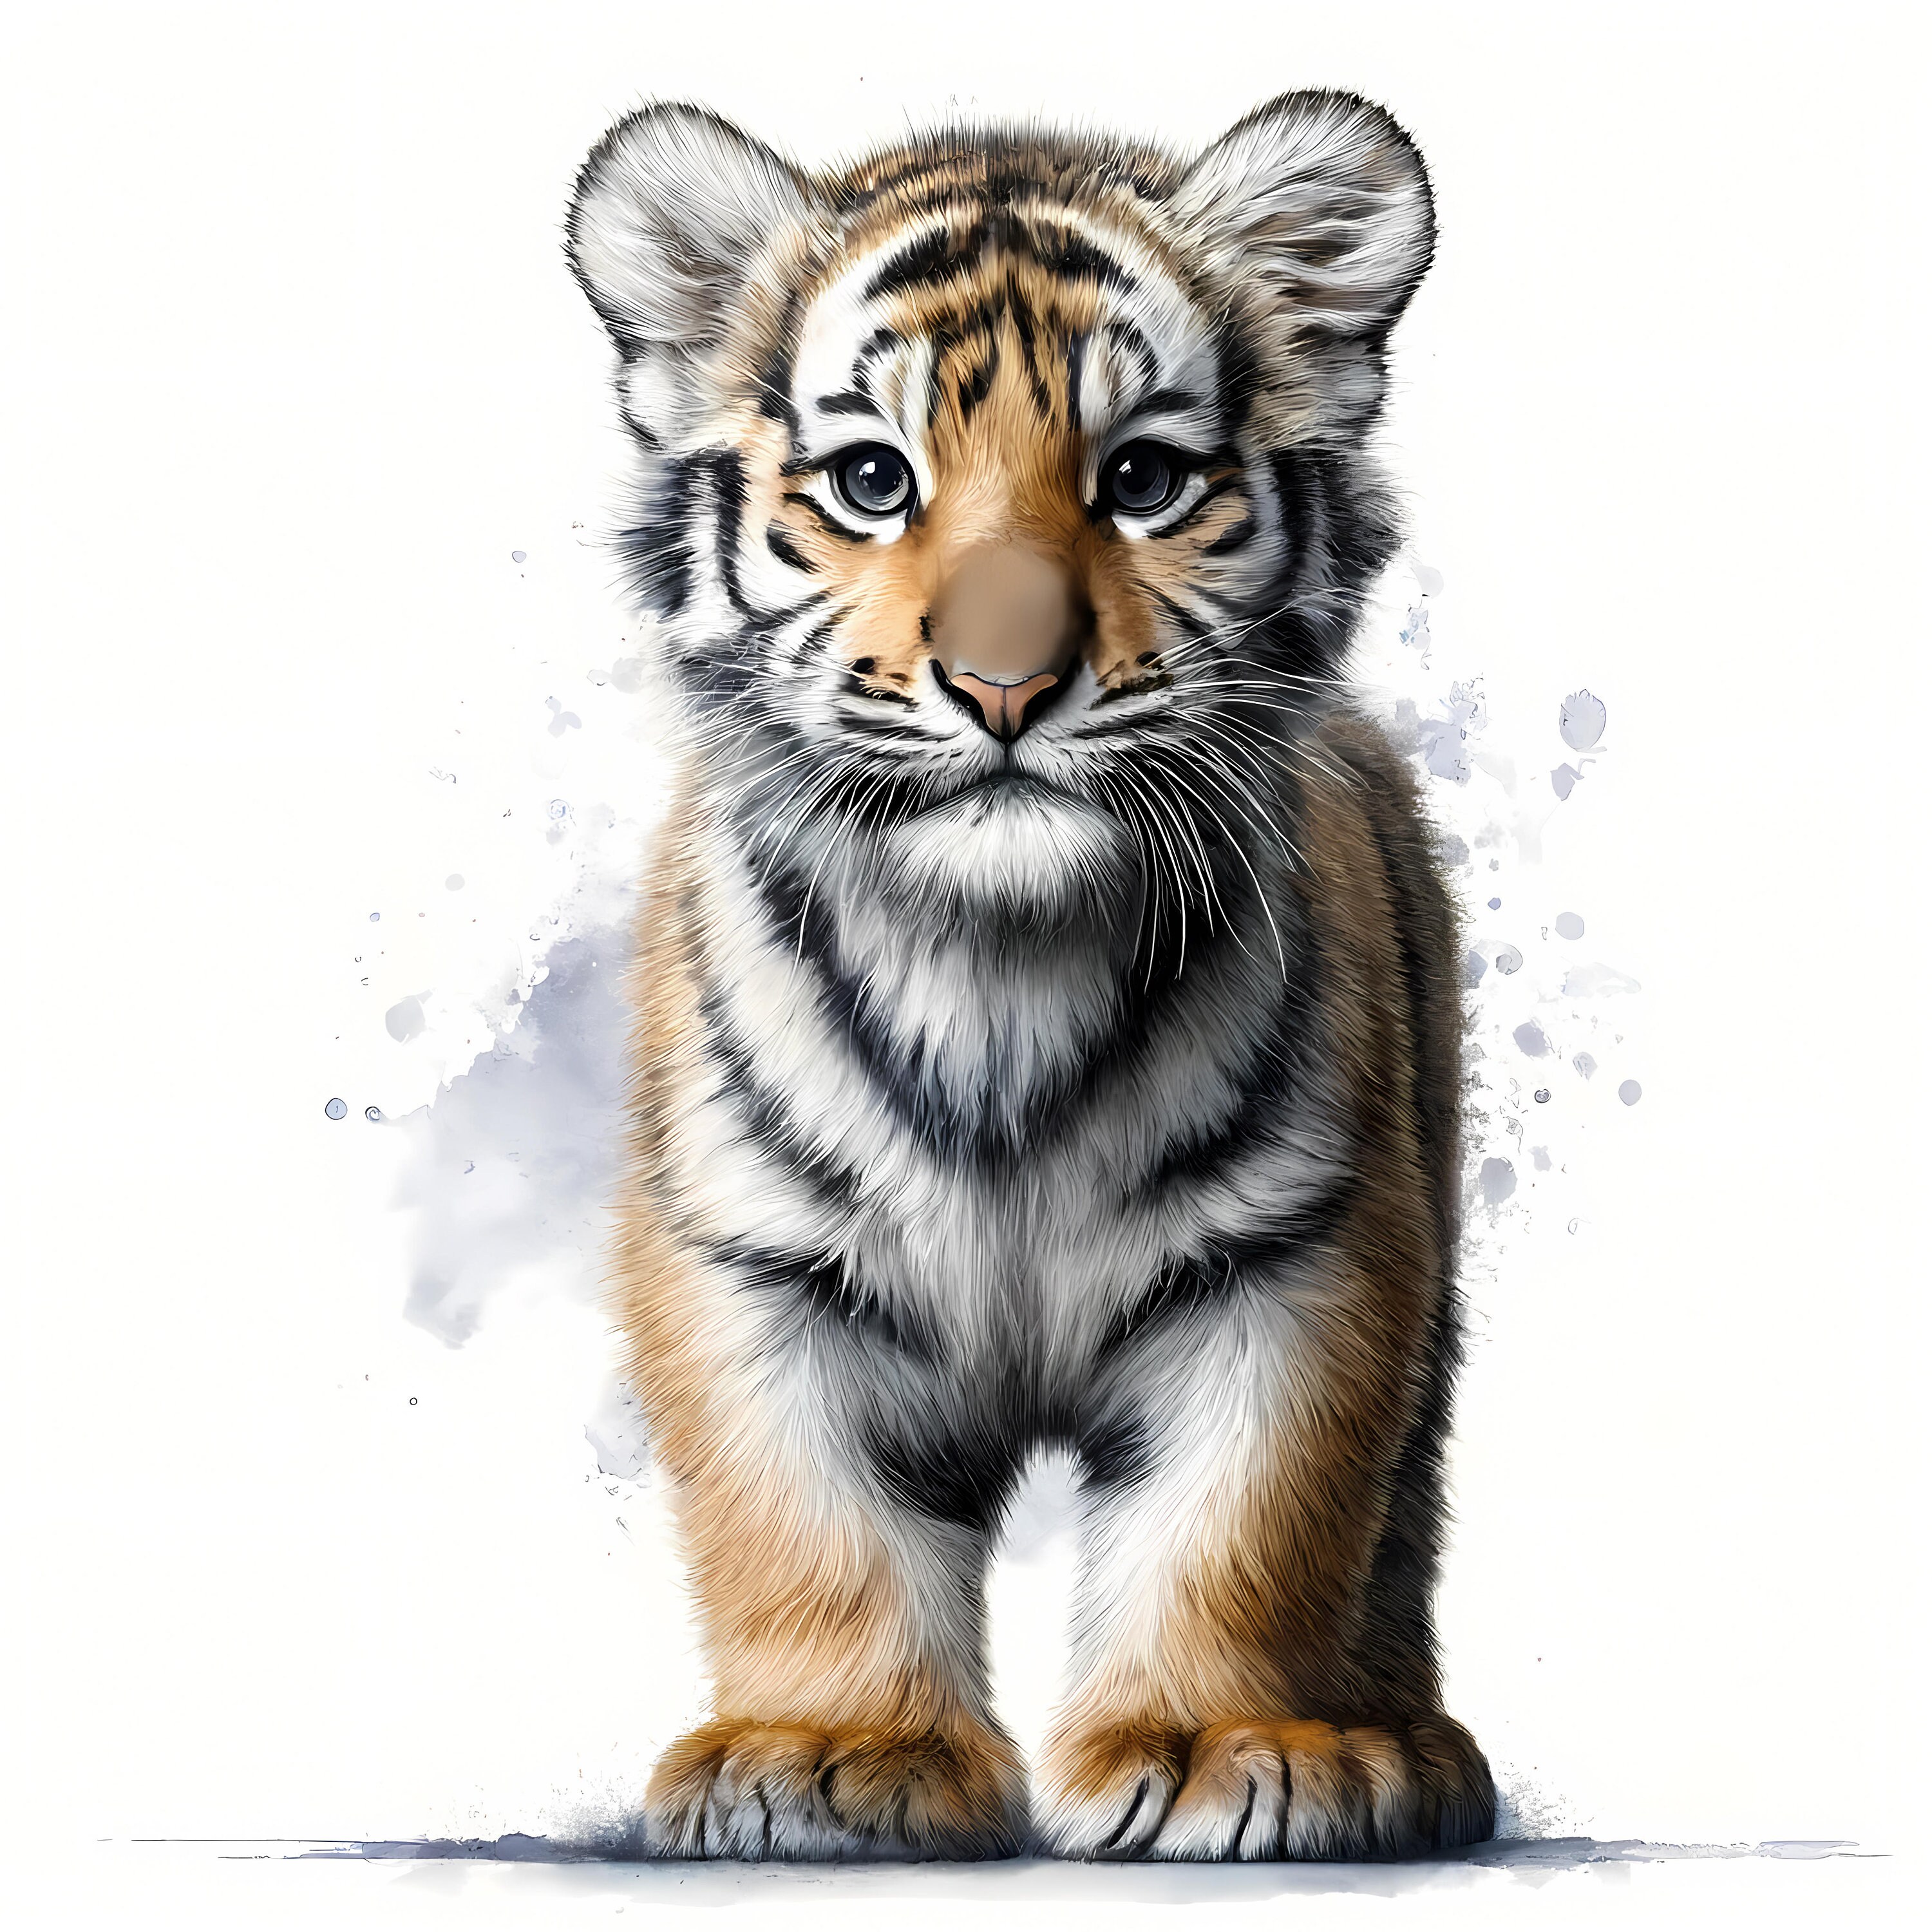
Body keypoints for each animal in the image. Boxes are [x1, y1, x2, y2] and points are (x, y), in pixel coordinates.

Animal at [565, 89, 1495, 1862]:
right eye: (873, 479)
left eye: (1142, 479)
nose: (1006, 679)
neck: (998, 967)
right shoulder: (750, 1257)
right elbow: (802, 1525)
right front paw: (822, 1753)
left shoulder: (1292, 1257)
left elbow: (1243, 1524)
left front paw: (1213, 1746)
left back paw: (1405, 1748)